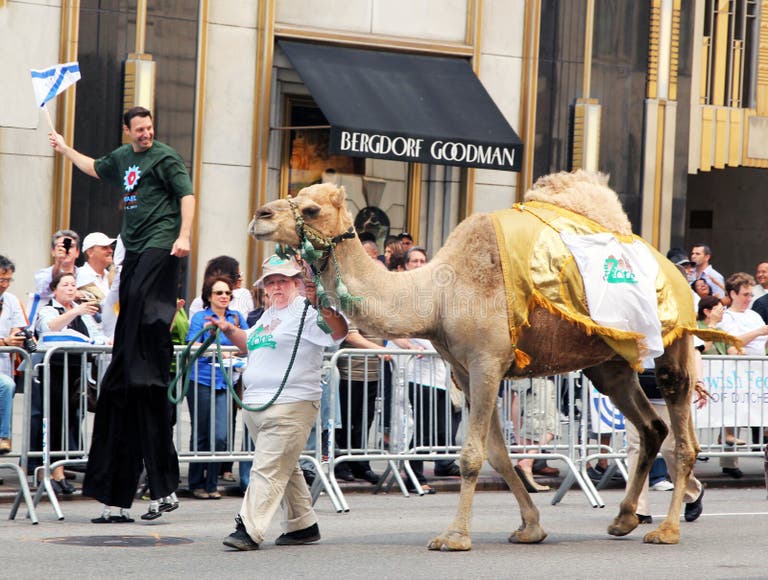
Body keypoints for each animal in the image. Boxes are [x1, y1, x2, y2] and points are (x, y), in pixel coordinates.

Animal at [249, 170, 720, 550]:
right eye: (297, 195)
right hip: (609, 363)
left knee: (683, 436)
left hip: (674, 340)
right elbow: (497, 453)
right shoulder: (463, 371)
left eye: (310, 208)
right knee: (651, 425)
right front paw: (531, 528)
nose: (260, 215)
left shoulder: (487, 363)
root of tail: (679, 276)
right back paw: (623, 519)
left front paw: (454, 537)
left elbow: (472, 455)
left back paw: (667, 529)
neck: (437, 295)